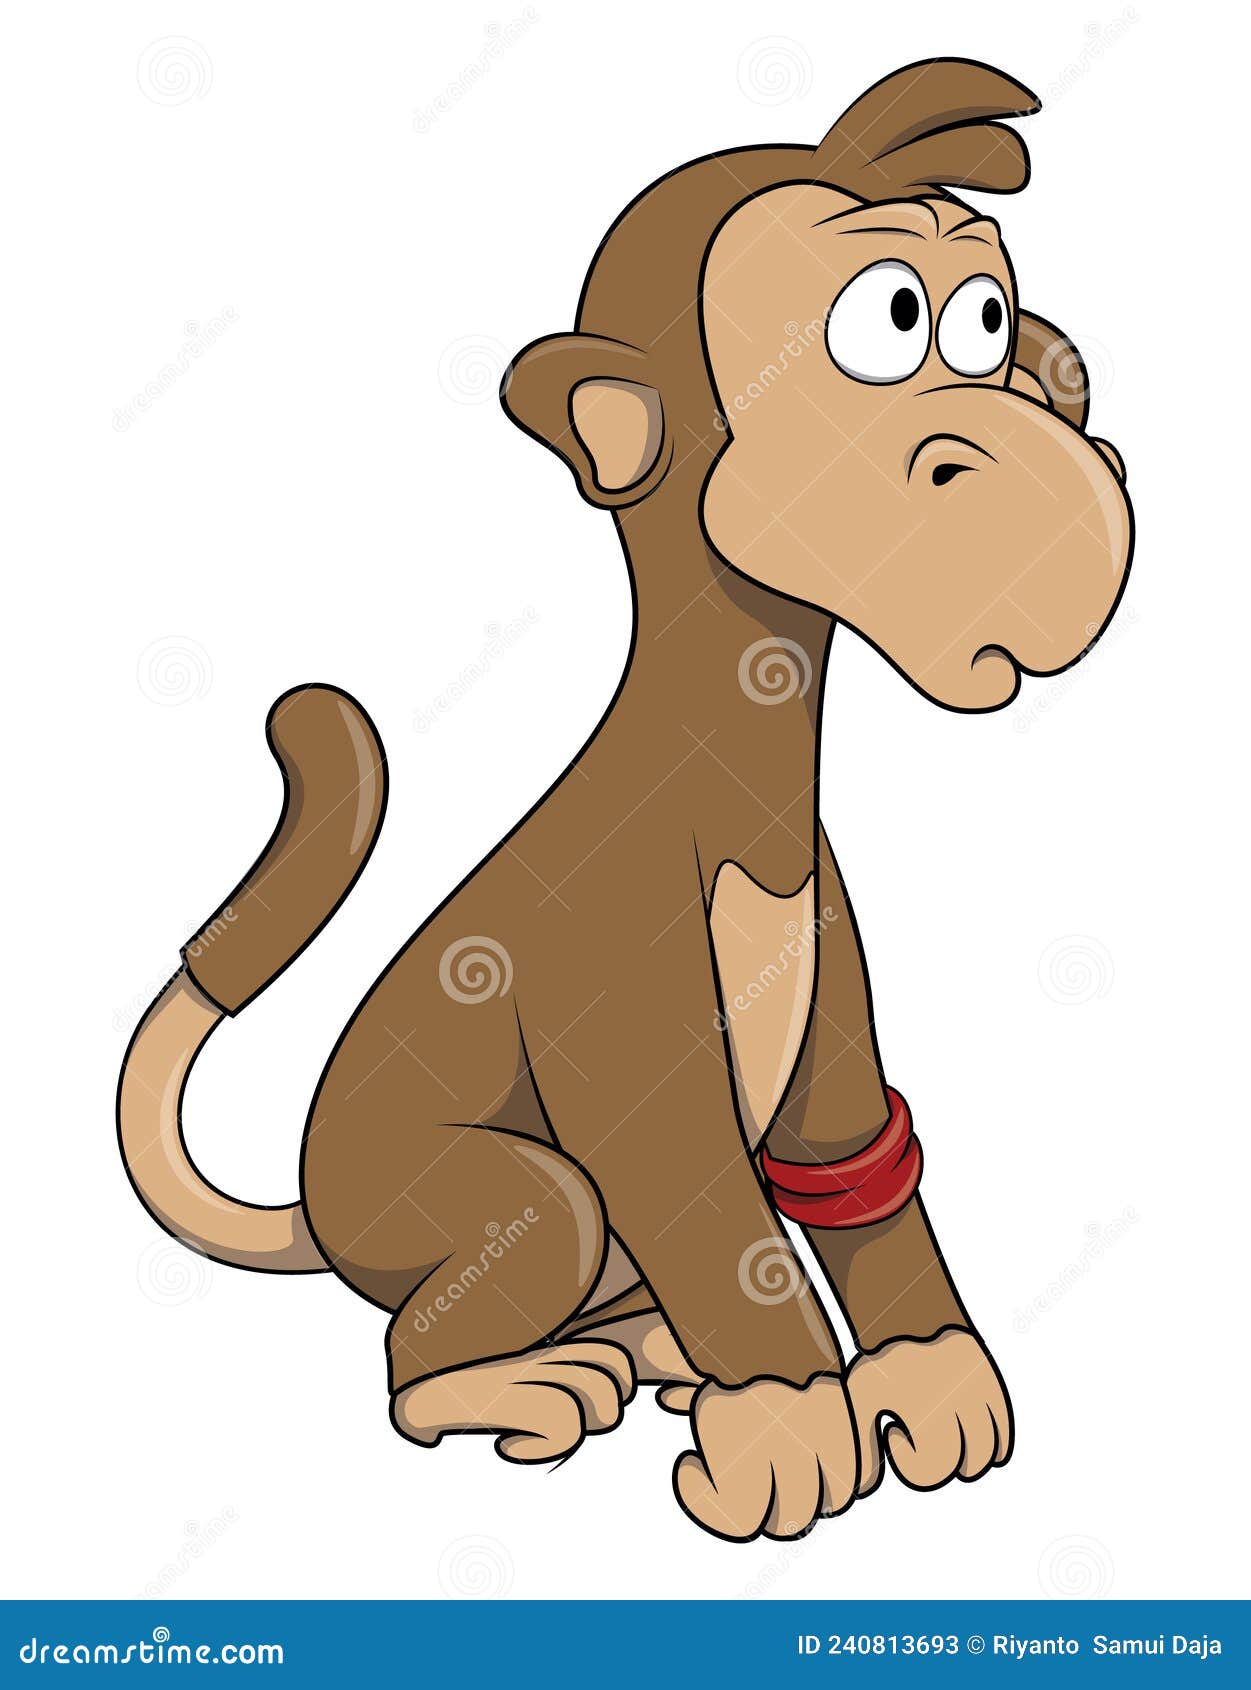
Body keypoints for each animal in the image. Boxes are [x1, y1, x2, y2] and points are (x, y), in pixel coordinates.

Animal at [118, 58, 1132, 1542]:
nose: (1049, 449)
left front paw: (932, 1385)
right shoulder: (622, 998)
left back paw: (646, 1346)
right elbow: (709, 1210)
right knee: (432, 1334)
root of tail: (310, 1203)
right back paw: (531, 1383)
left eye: (985, 321)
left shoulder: (833, 1007)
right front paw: (786, 1433)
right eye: (883, 323)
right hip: (505, 1206)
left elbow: (848, 1164)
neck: (732, 789)